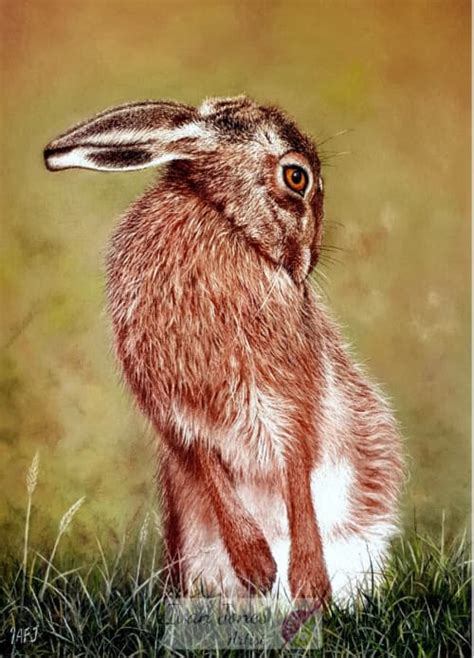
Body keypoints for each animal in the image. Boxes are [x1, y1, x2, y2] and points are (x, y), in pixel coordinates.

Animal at [44, 95, 403, 605]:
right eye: (297, 177)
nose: (309, 259)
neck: (221, 218)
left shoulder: (290, 396)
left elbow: (296, 470)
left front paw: (306, 581)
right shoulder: (179, 415)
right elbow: (211, 470)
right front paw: (257, 568)